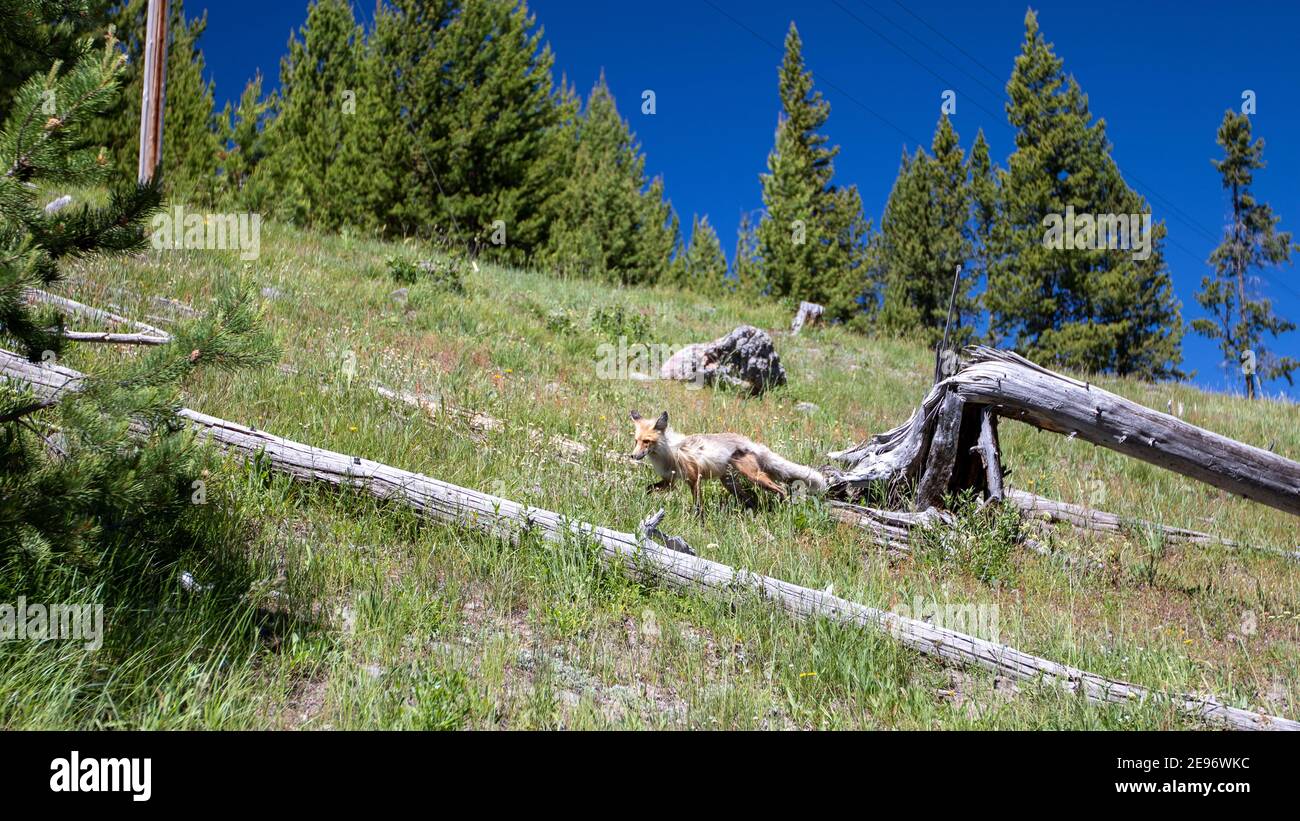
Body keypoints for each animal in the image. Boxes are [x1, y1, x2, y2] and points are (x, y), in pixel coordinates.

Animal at [629, 410, 827, 513]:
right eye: (636, 441)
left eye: (647, 441)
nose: (633, 456)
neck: (669, 452)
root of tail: (750, 442)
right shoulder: (669, 482)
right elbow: (648, 489)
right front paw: (642, 500)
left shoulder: (694, 479)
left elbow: (698, 505)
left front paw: (698, 520)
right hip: (730, 483)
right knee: (752, 499)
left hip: (754, 477)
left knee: (780, 490)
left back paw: (781, 508)